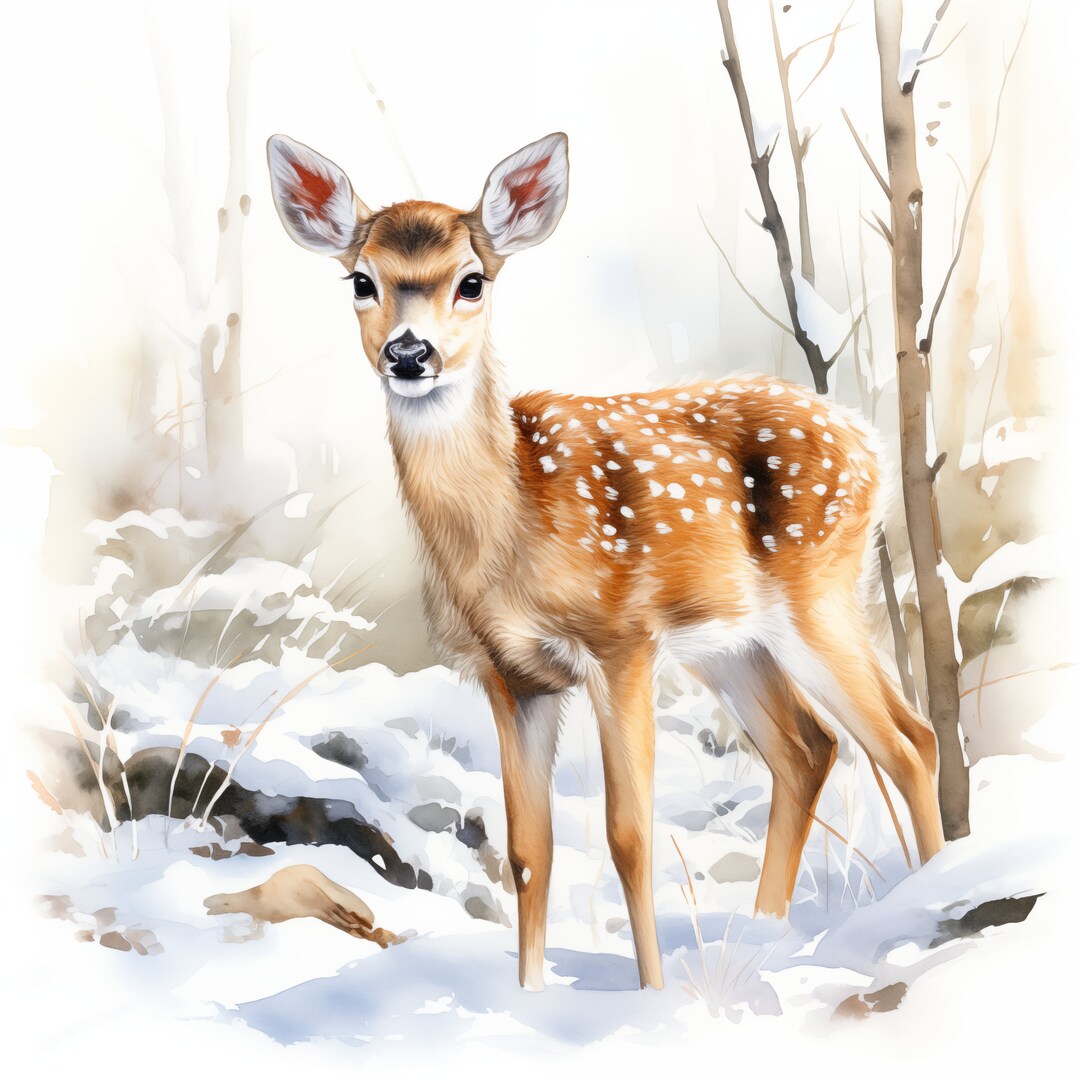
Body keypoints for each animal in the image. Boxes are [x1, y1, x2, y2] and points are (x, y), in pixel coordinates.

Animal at [267, 131, 946, 991]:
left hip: (817, 595)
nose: (410, 352)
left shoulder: (621, 641)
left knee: (908, 739)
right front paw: (528, 995)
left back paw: (931, 906)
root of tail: (868, 441)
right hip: (731, 641)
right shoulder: (511, 677)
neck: (505, 537)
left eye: (471, 281)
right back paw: (766, 937)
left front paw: (650, 993)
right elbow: (529, 851)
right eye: (363, 281)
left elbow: (630, 836)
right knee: (807, 750)